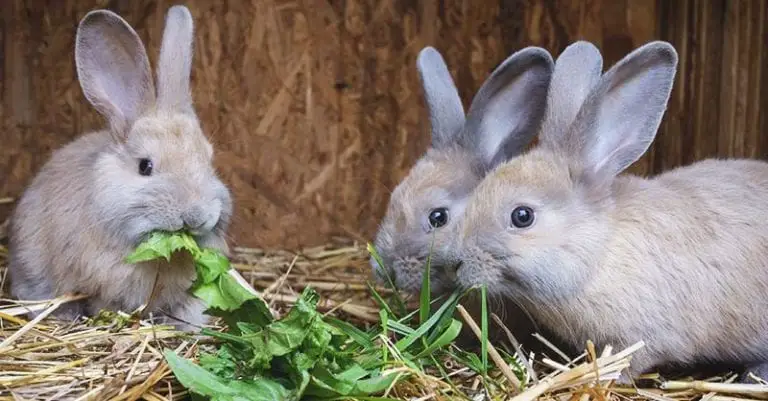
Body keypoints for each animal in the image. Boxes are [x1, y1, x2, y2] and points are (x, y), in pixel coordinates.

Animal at [453, 38, 768, 384]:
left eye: (522, 216)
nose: (457, 262)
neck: (598, 251)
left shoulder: (642, 338)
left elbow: (630, 361)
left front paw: (605, 378)